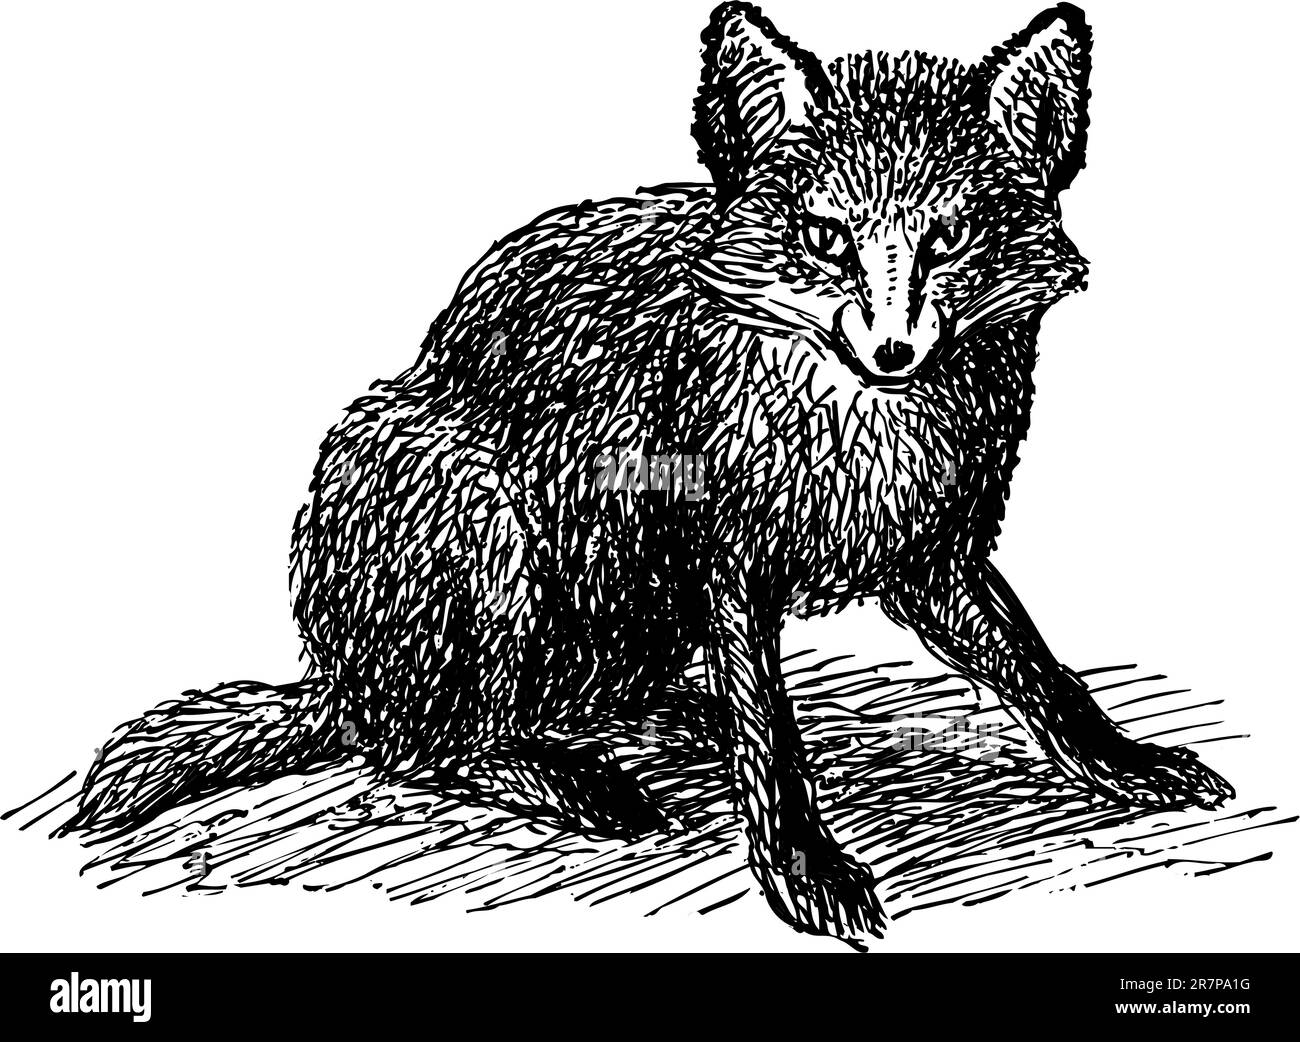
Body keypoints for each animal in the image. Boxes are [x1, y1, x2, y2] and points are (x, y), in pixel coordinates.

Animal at [69, 2, 1233, 947]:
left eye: (947, 241)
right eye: (827, 239)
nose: (894, 351)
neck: (859, 434)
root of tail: (343, 679)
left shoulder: (933, 560)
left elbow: (1045, 676)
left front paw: (1126, 762)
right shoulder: (732, 564)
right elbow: (774, 742)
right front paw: (803, 871)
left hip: (622, 611)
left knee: (579, 700)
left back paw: (664, 717)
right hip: (472, 510)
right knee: (426, 743)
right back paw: (562, 773)